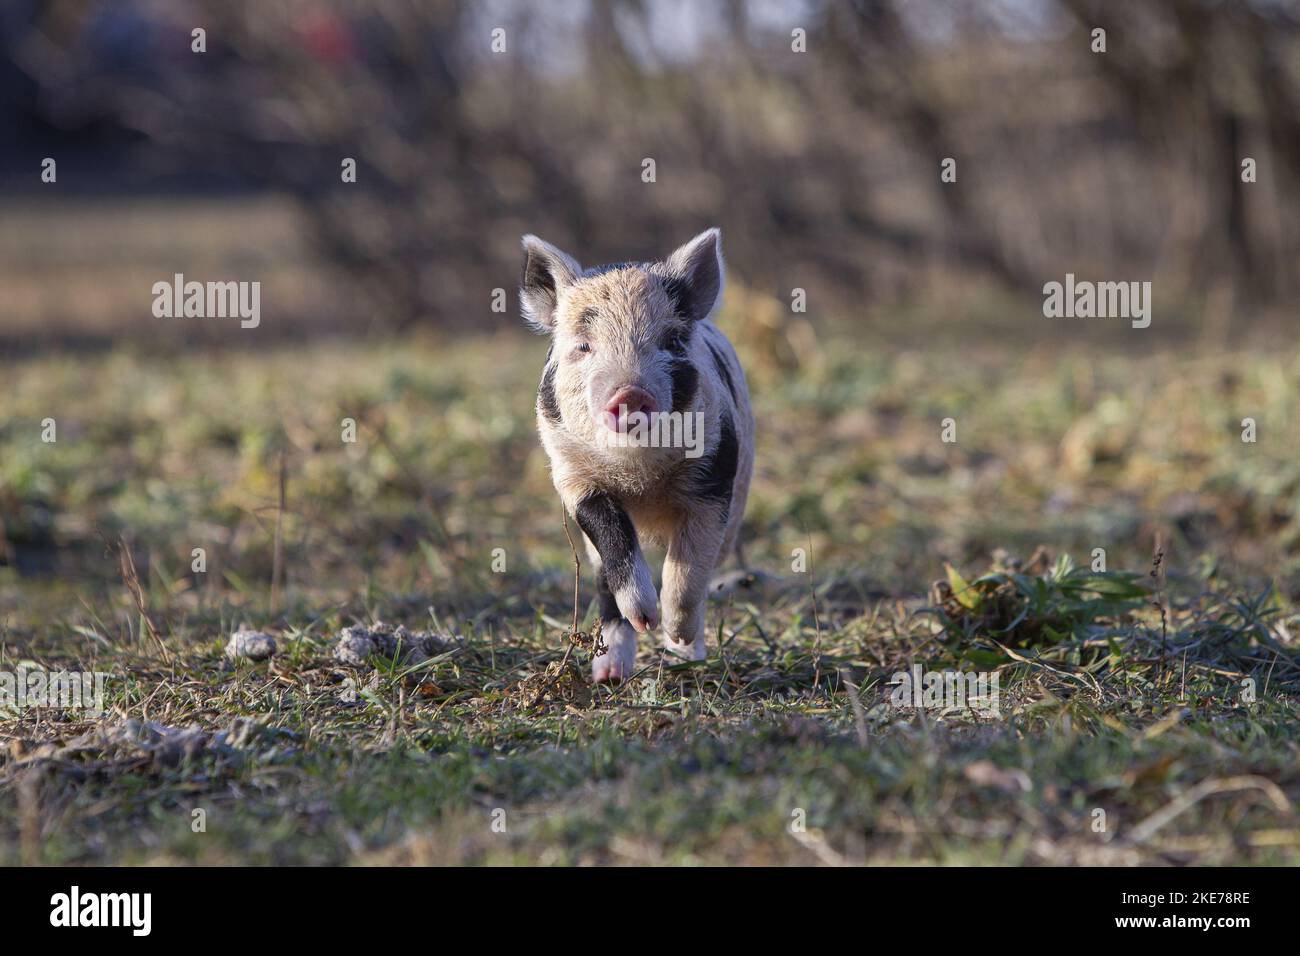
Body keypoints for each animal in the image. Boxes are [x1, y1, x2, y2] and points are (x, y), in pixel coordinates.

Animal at [520, 228, 754, 683]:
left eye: (671, 340)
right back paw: (610, 673)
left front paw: (675, 632)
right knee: (604, 580)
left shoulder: (716, 475)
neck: (639, 473)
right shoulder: (573, 475)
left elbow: (688, 568)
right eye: (584, 345)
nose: (630, 392)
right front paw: (646, 619)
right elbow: (614, 541)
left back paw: (684, 652)